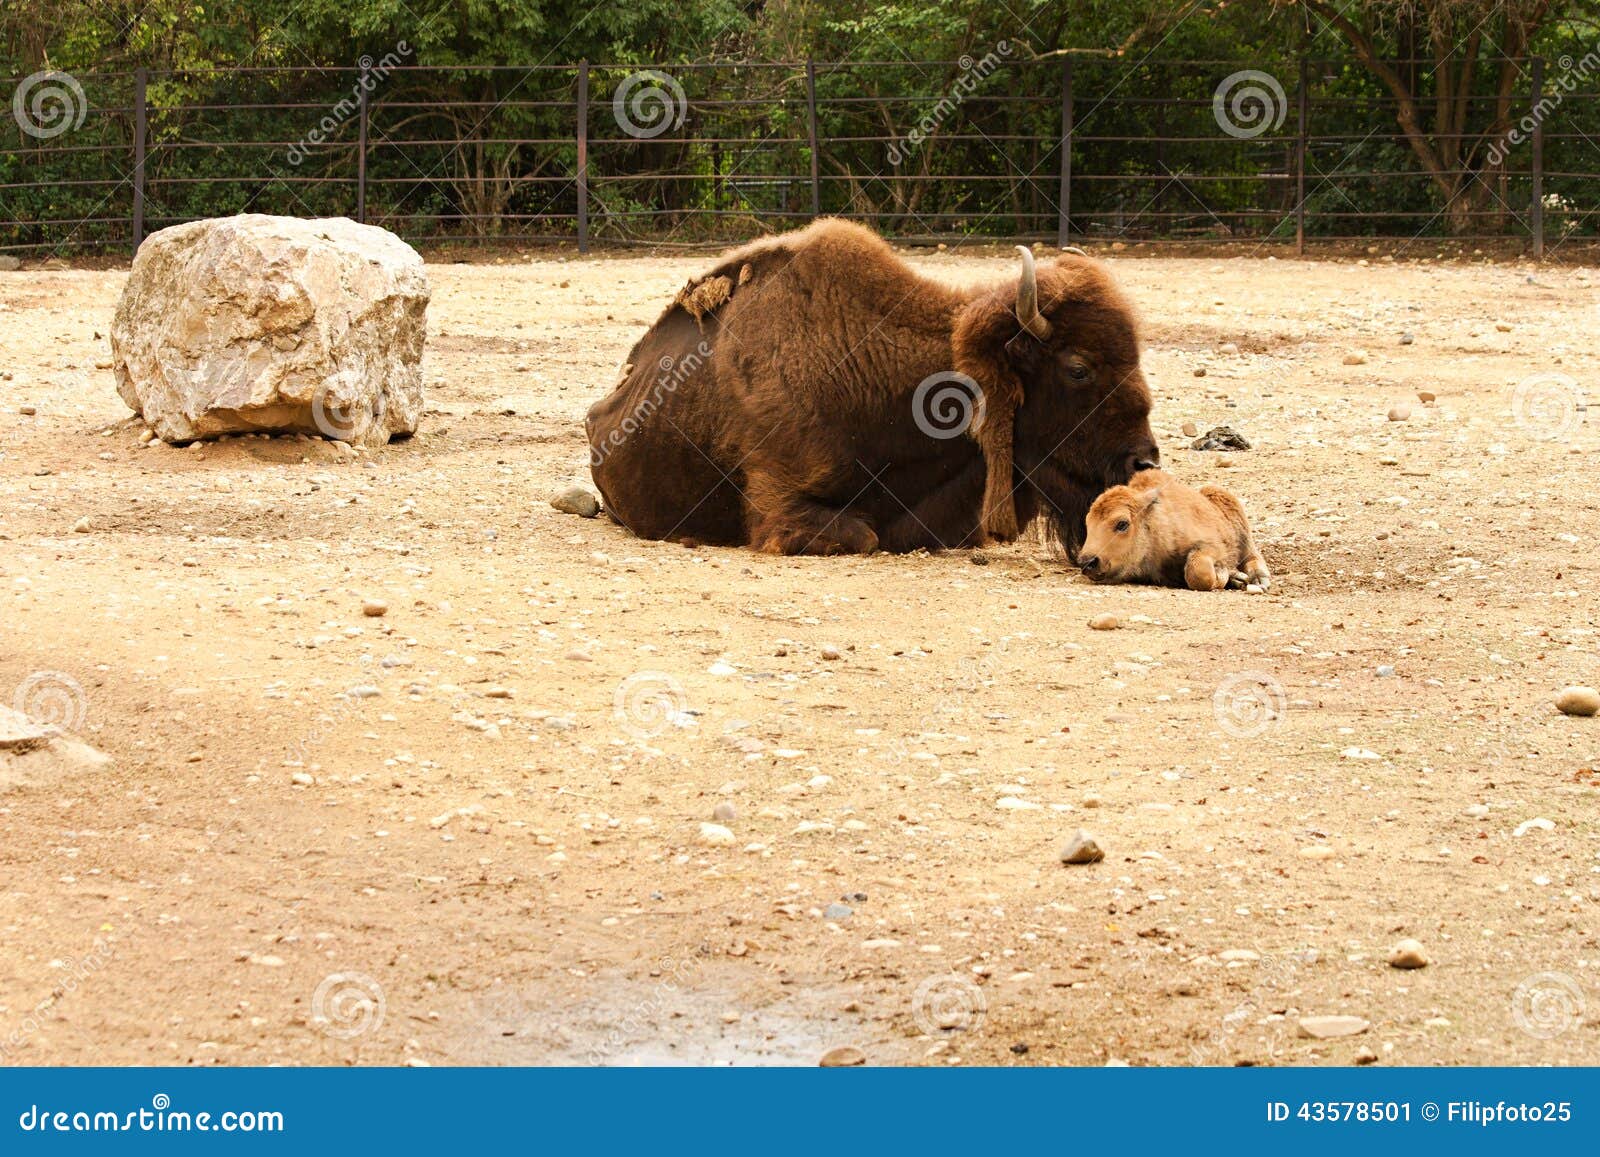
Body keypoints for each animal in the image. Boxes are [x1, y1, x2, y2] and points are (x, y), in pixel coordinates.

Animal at [1078, 468, 1271, 591]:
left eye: (1122, 523)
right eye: (1088, 523)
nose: (1087, 562)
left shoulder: (1213, 546)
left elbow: (1198, 572)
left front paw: (1224, 575)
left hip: (1243, 535)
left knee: (1252, 556)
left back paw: (1259, 580)